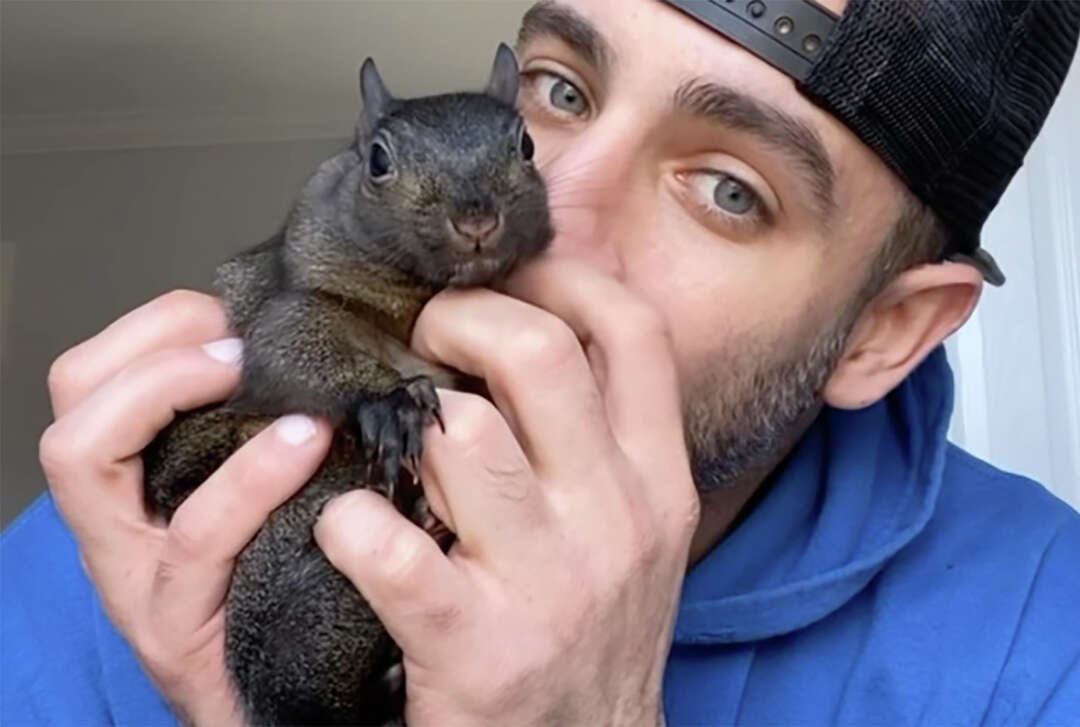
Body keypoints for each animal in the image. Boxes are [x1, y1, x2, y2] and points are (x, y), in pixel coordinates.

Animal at [141, 43, 553, 727]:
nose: (476, 219)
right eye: (378, 160)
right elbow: (289, 348)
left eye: (526, 145)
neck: (421, 292)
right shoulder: (293, 301)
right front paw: (389, 402)